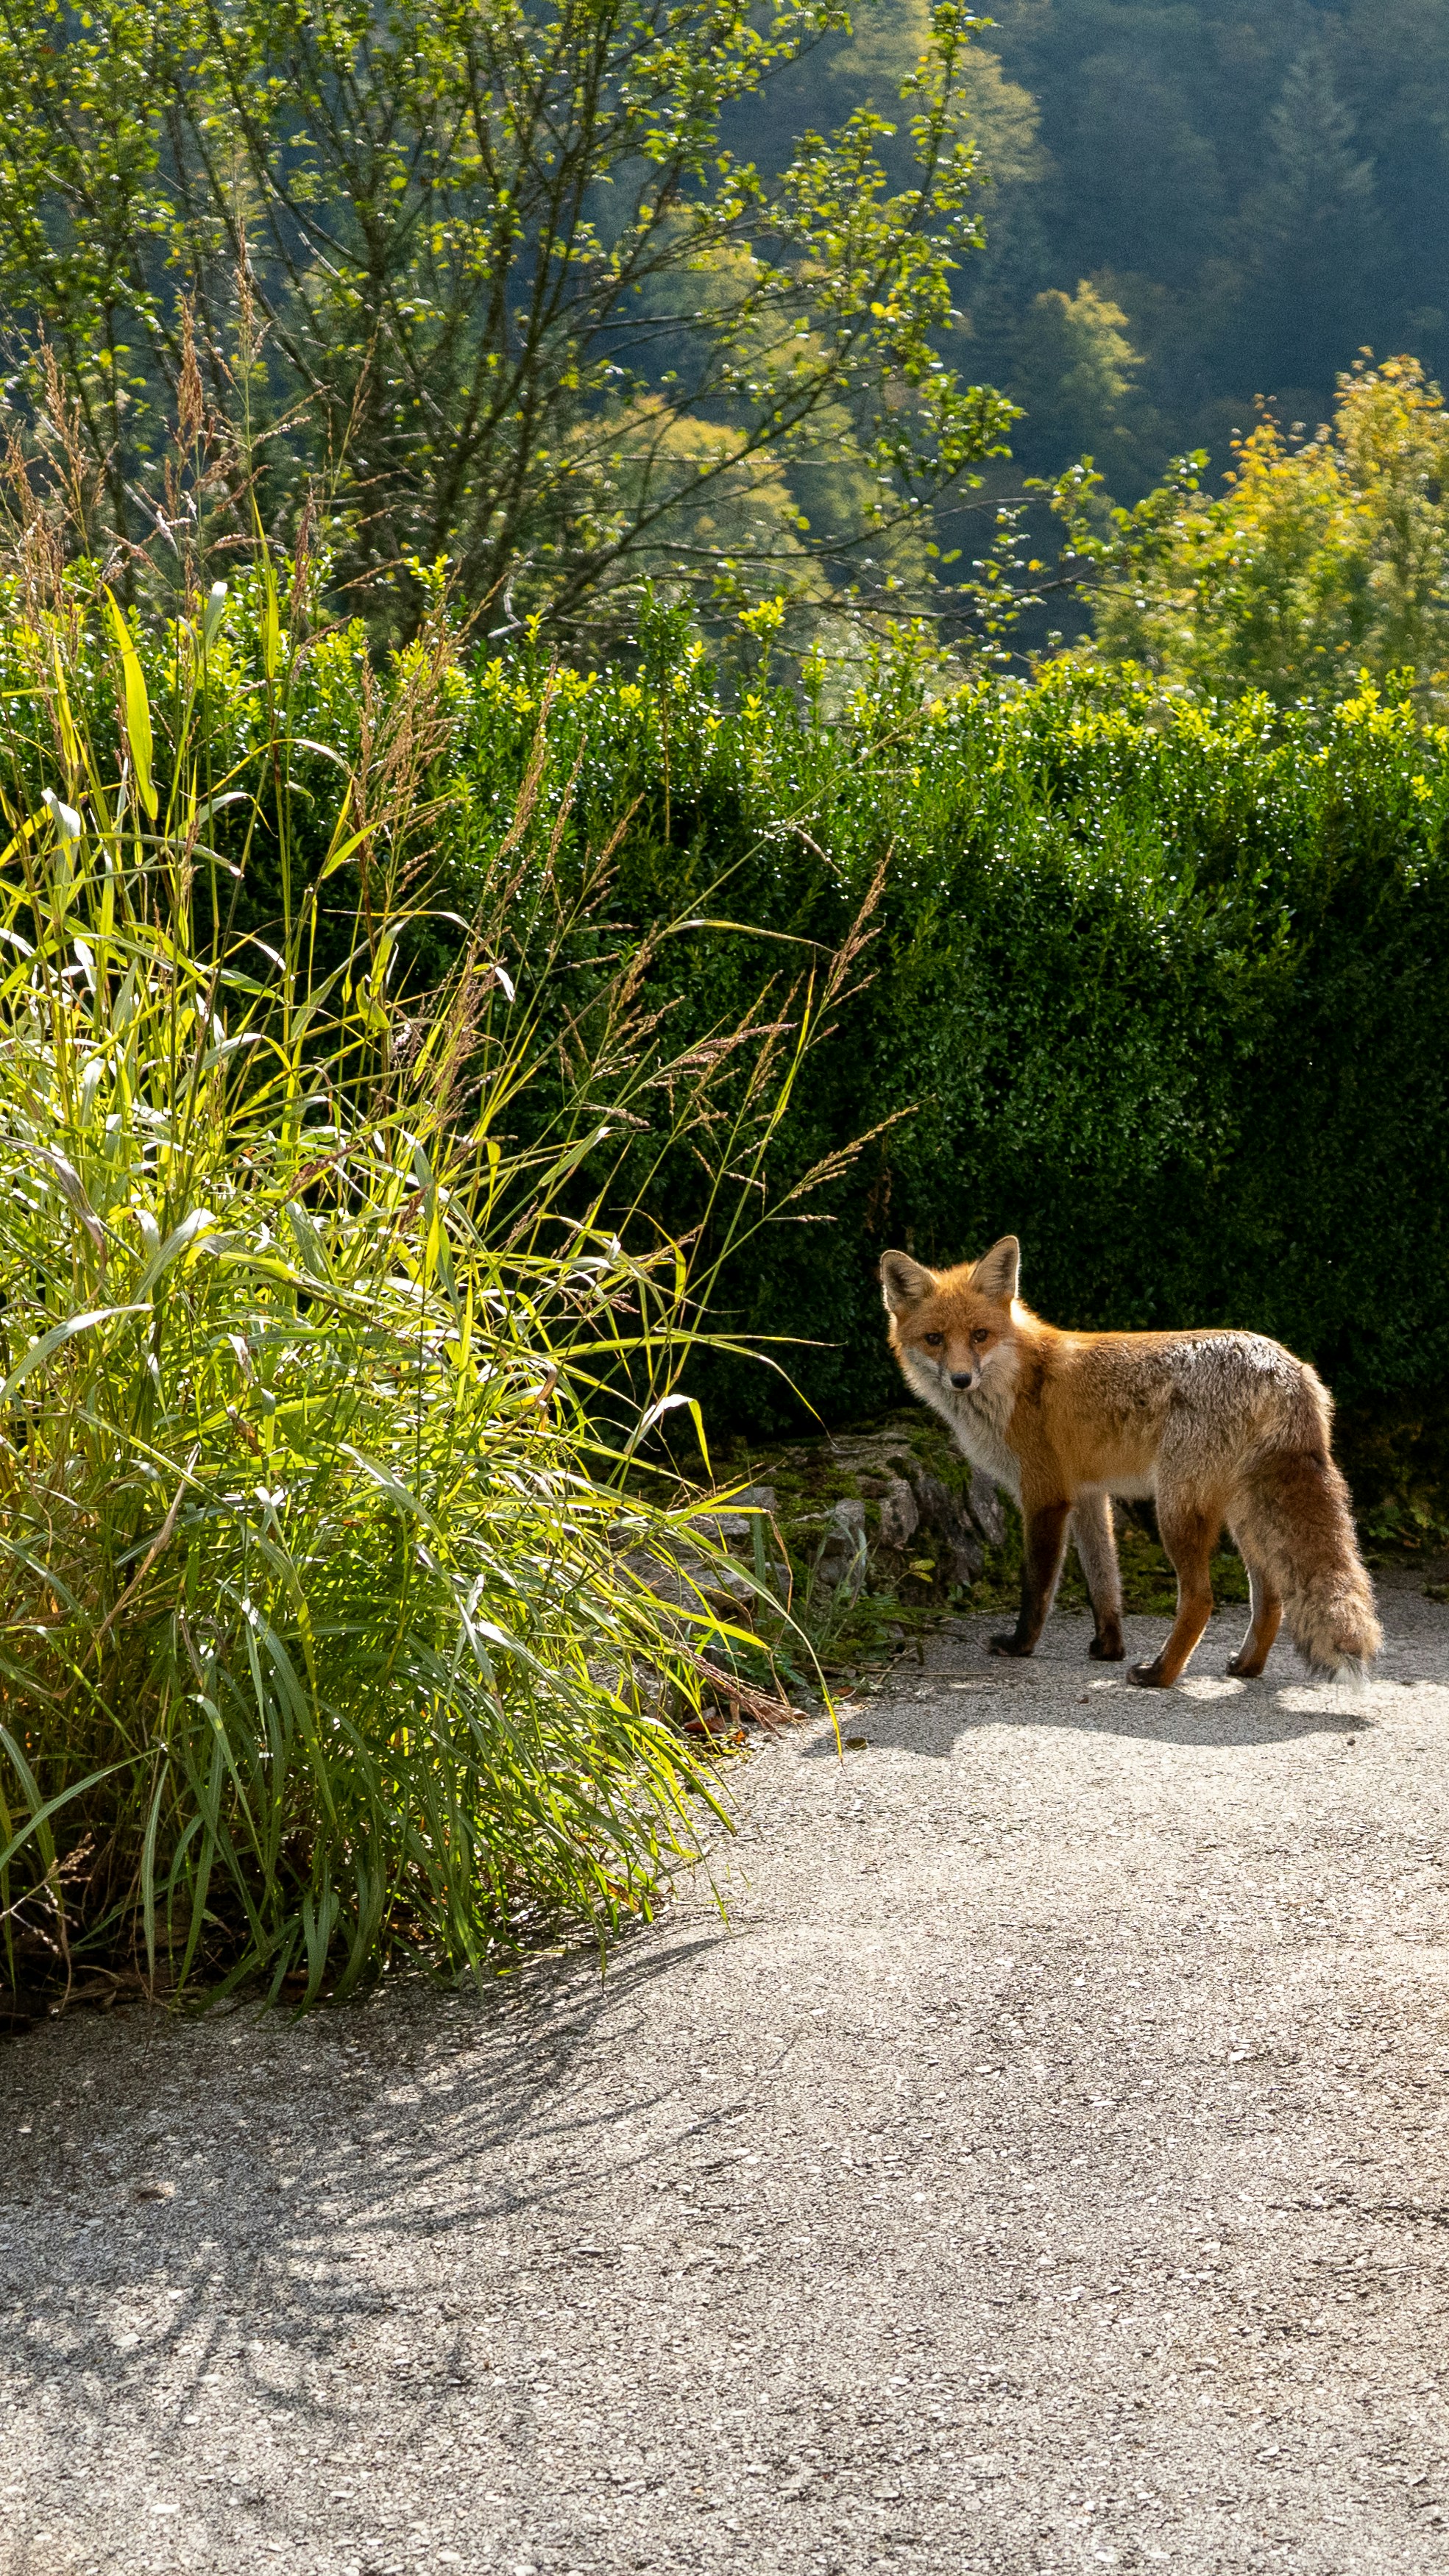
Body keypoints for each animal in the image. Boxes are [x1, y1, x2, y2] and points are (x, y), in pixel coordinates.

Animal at [880, 1235, 1380, 1688]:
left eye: (979, 1336)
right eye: (934, 1339)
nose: (961, 1379)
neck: (1017, 1380)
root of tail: (1286, 1368)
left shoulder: (1045, 1496)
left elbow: (1037, 1587)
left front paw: (1021, 1647)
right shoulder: (1087, 1495)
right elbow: (1104, 1582)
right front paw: (1109, 1647)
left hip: (1177, 1510)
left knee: (1200, 1599)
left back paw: (1160, 1674)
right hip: (1242, 1513)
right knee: (1272, 1595)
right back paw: (1246, 1667)